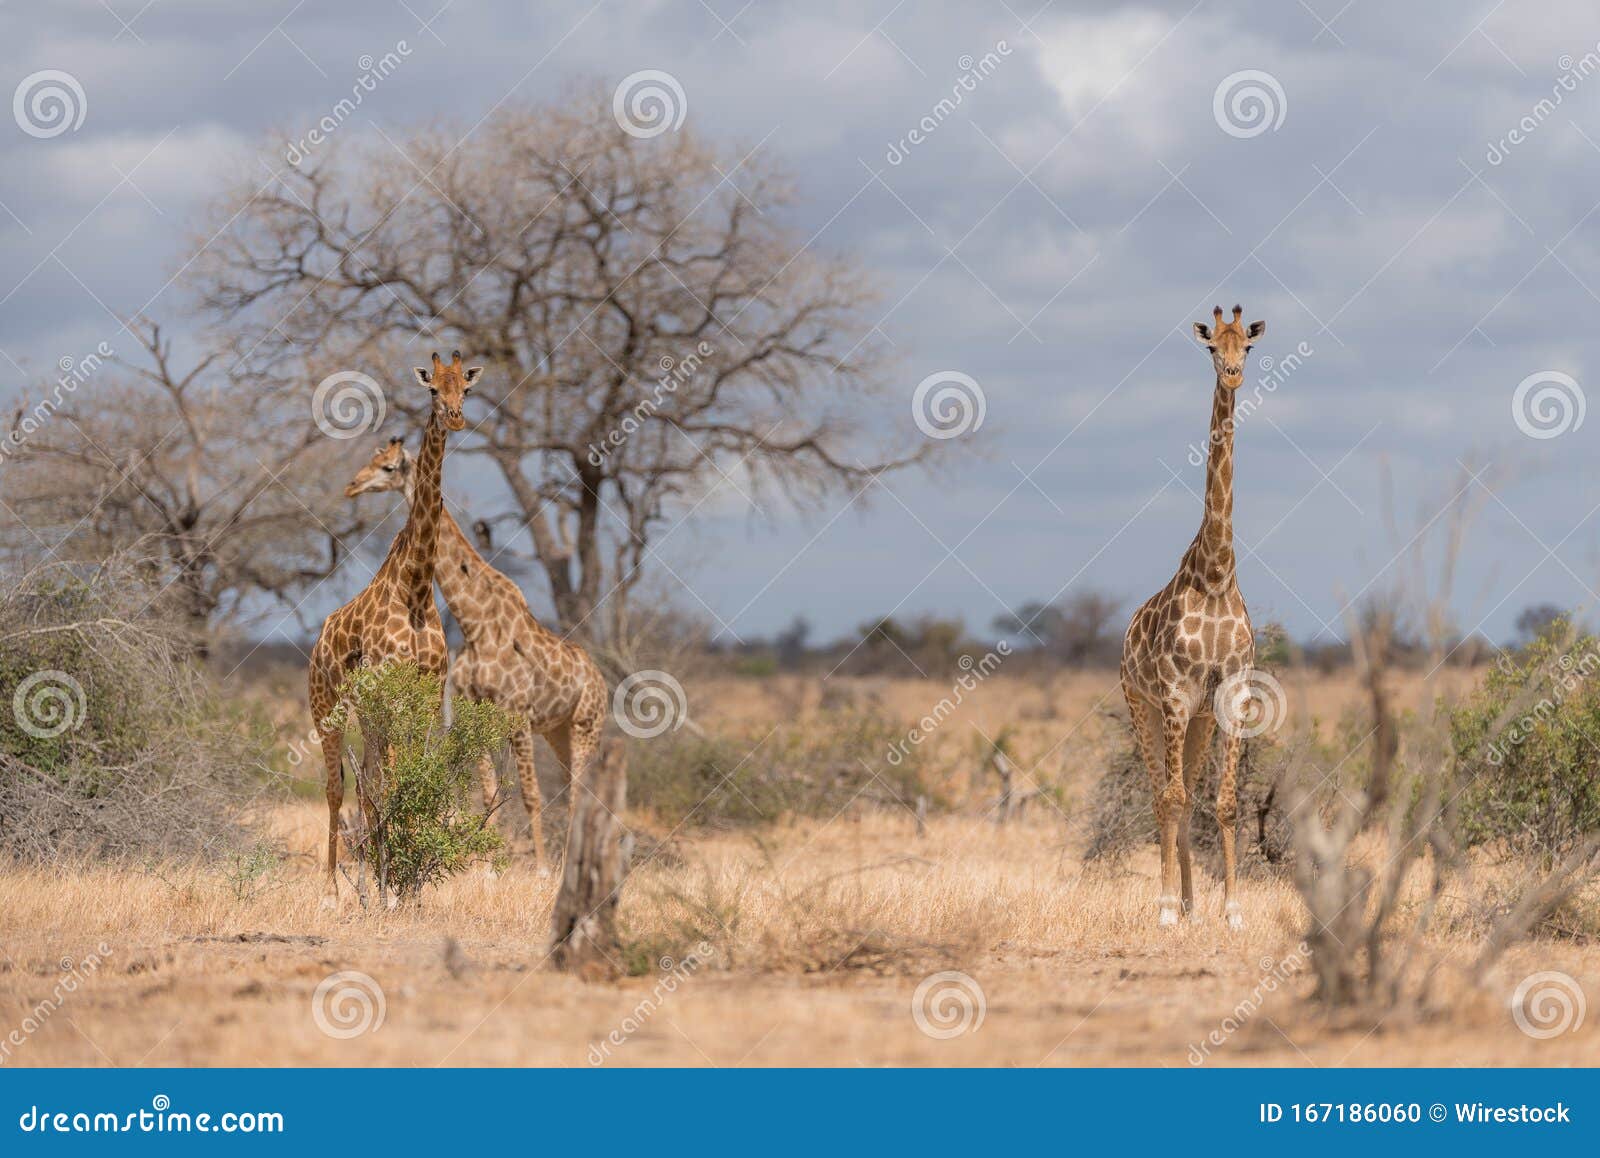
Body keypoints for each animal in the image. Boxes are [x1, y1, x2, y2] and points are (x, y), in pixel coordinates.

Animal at [308, 351, 479, 904]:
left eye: (466, 388)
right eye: (432, 390)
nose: (454, 418)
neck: (417, 588)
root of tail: (319, 640)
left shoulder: (426, 694)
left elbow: (415, 777)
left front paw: (405, 885)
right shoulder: (389, 694)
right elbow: (387, 783)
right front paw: (387, 886)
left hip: (368, 714)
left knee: (369, 780)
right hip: (329, 707)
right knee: (339, 786)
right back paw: (334, 887)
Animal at [343, 437, 607, 871]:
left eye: (387, 467)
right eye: (370, 459)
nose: (351, 486)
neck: (475, 623)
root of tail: (601, 681)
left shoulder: (518, 714)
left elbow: (530, 794)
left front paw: (539, 867)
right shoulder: (475, 709)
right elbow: (486, 794)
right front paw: (488, 868)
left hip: (587, 724)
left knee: (579, 794)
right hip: (559, 731)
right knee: (577, 791)